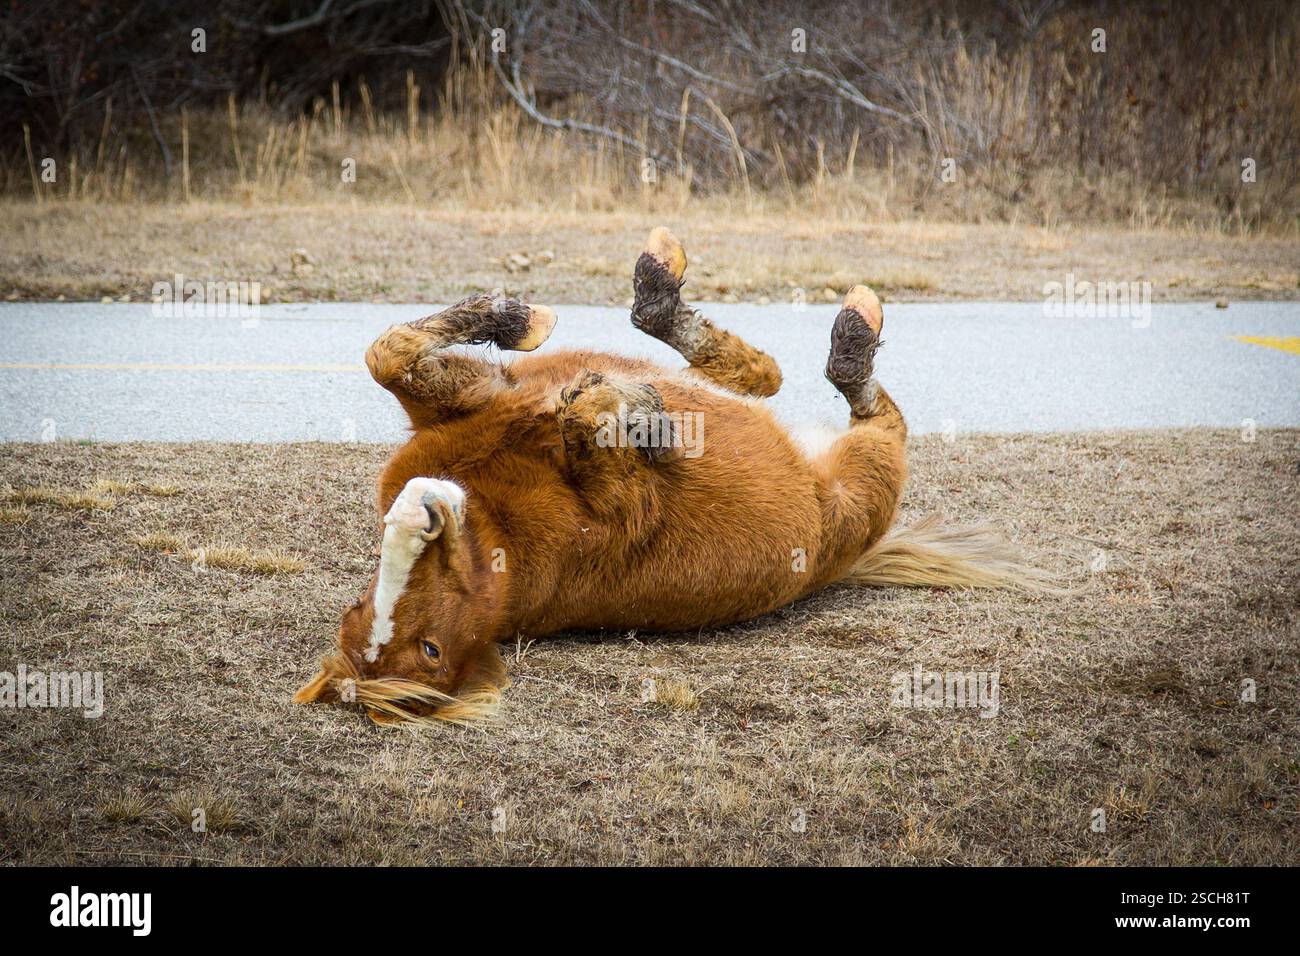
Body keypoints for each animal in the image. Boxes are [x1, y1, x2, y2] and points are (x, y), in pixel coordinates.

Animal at [294, 227, 1045, 725]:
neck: (495, 519)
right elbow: (589, 417)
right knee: (873, 411)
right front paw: (639, 414)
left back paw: (664, 289)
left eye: (355, 607)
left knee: (751, 373)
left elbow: (388, 353)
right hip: (862, 481)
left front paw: (516, 321)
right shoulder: (616, 510)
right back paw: (842, 339)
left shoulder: (468, 399)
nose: (417, 513)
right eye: (427, 648)